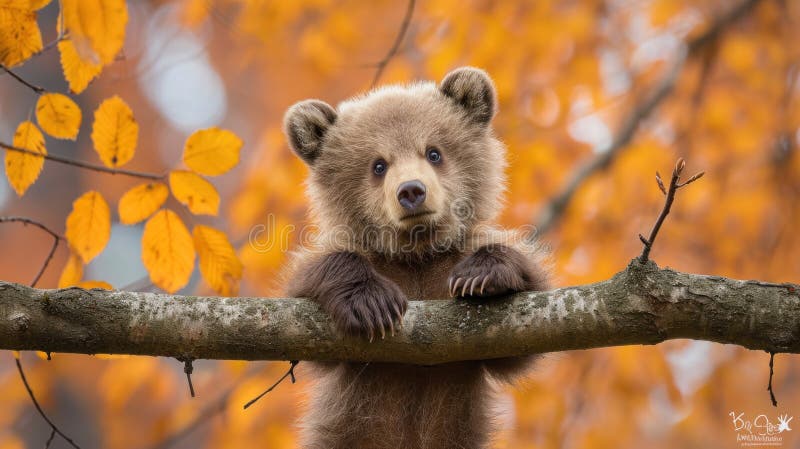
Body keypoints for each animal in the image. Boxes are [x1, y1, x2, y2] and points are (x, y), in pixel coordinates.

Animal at [282, 67, 550, 449]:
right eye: (378, 164)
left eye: (434, 152)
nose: (411, 190)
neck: (417, 255)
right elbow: (313, 277)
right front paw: (374, 303)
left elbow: (516, 345)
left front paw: (480, 276)